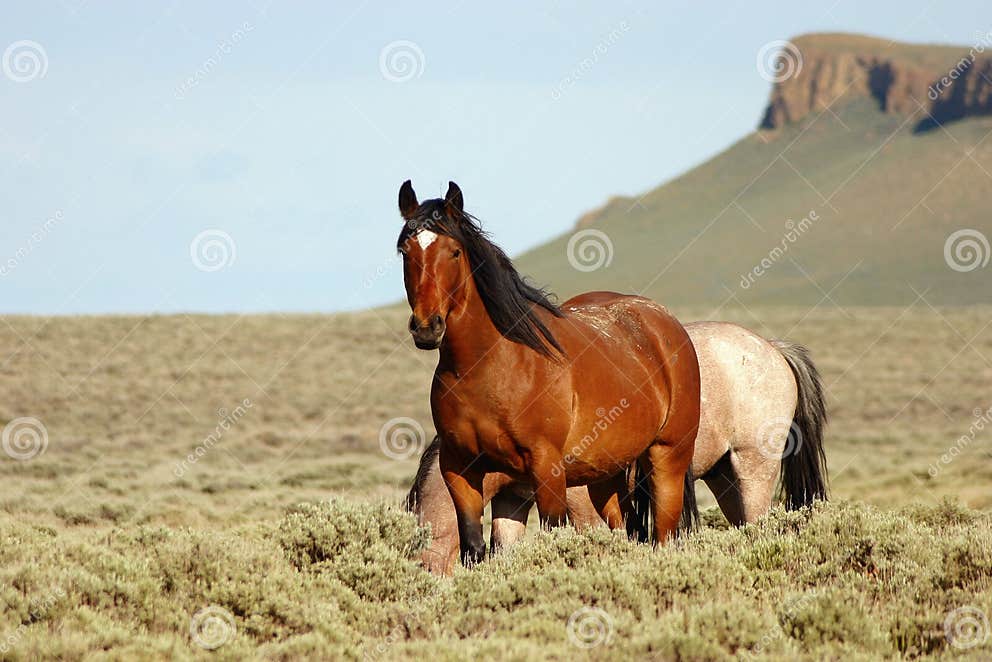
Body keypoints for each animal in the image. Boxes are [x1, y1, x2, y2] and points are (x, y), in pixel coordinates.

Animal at [396, 180, 701, 565]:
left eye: (454, 251)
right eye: (404, 251)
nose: (427, 327)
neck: (491, 368)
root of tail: (666, 324)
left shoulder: (547, 471)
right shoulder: (462, 470)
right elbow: (477, 548)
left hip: (667, 460)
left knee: (662, 534)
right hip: (606, 478)